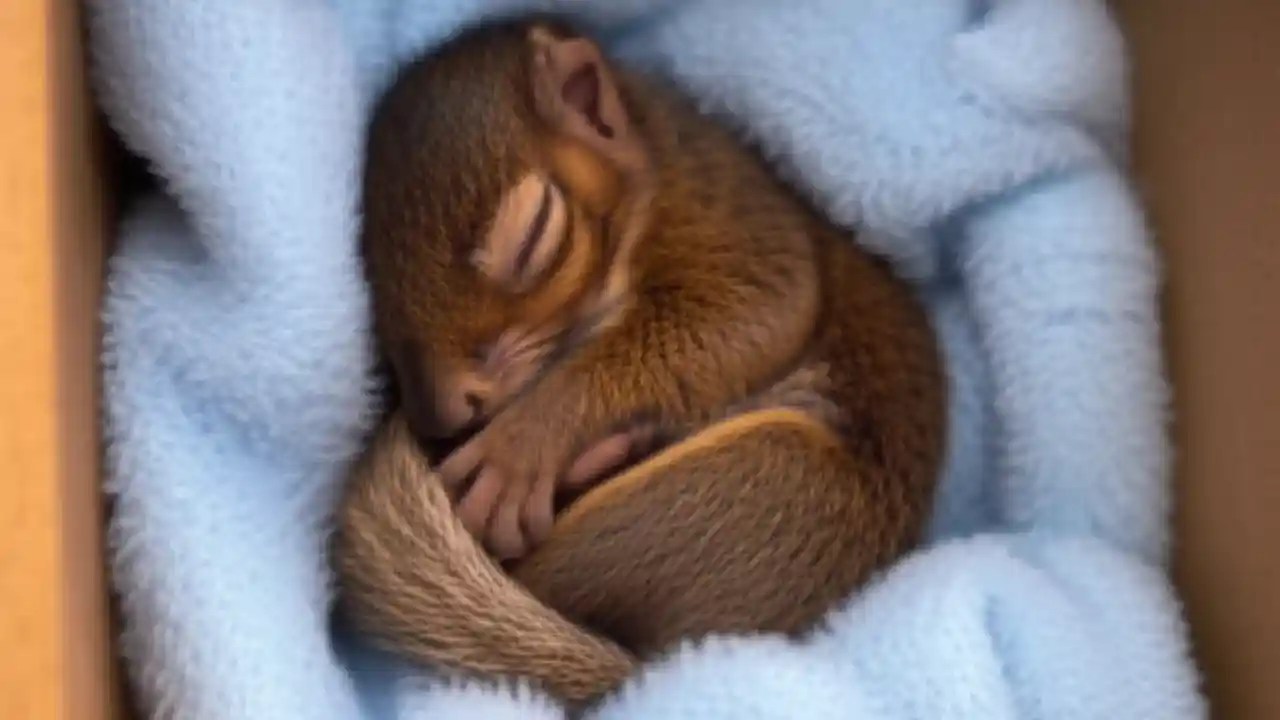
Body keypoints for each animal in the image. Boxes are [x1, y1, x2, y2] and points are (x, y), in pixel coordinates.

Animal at [333, 15, 946, 707]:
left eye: (534, 237)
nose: (443, 414)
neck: (647, 161)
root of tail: (652, 662)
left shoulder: (723, 207)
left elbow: (760, 307)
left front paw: (518, 451)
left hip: (756, 488)